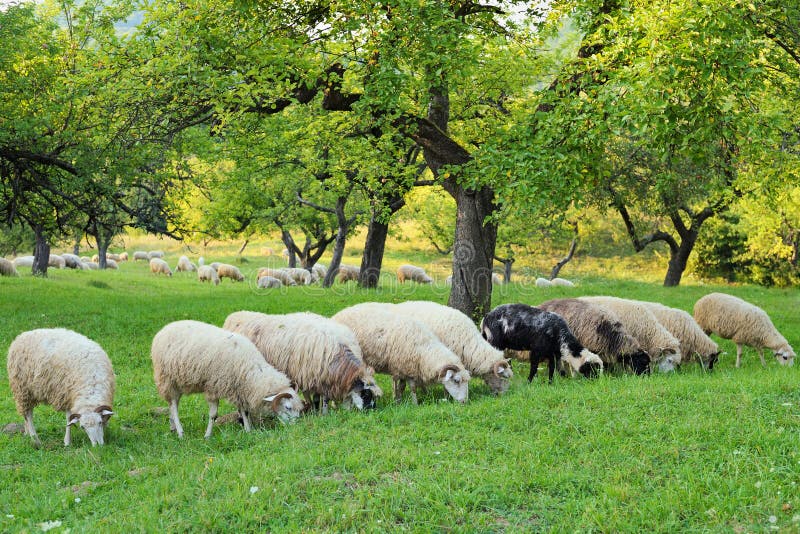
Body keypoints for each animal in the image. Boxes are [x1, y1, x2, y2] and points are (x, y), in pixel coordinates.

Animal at [151, 320, 303, 438]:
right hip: (166, 379)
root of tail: (165, 328)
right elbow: (213, 415)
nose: (296, 426)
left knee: (172, 405)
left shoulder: (238, 388)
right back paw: (180, 432)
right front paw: (207, 436)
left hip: (176, 381)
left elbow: (244, 411)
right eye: (288, 407)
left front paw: (248, 430)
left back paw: (172, 427)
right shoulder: (213, 388)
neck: (250, 369)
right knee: (174, 406)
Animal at [223, 311, 383, 413]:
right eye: (365, 394)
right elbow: (320, 398)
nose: (371, 410)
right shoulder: (315, 375)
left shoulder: (318, 376)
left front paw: (320, 410)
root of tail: (234, 315)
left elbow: (320, 397)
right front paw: (320, 412)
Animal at [332, 303, 471, 404]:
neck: (424, 349)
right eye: (456, 381)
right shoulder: (401, 365)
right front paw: (413, 403)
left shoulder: (406, 368)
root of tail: (337, 315)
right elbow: (410, 387)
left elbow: (403, 385)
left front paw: (401, 400)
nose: (464, 402)